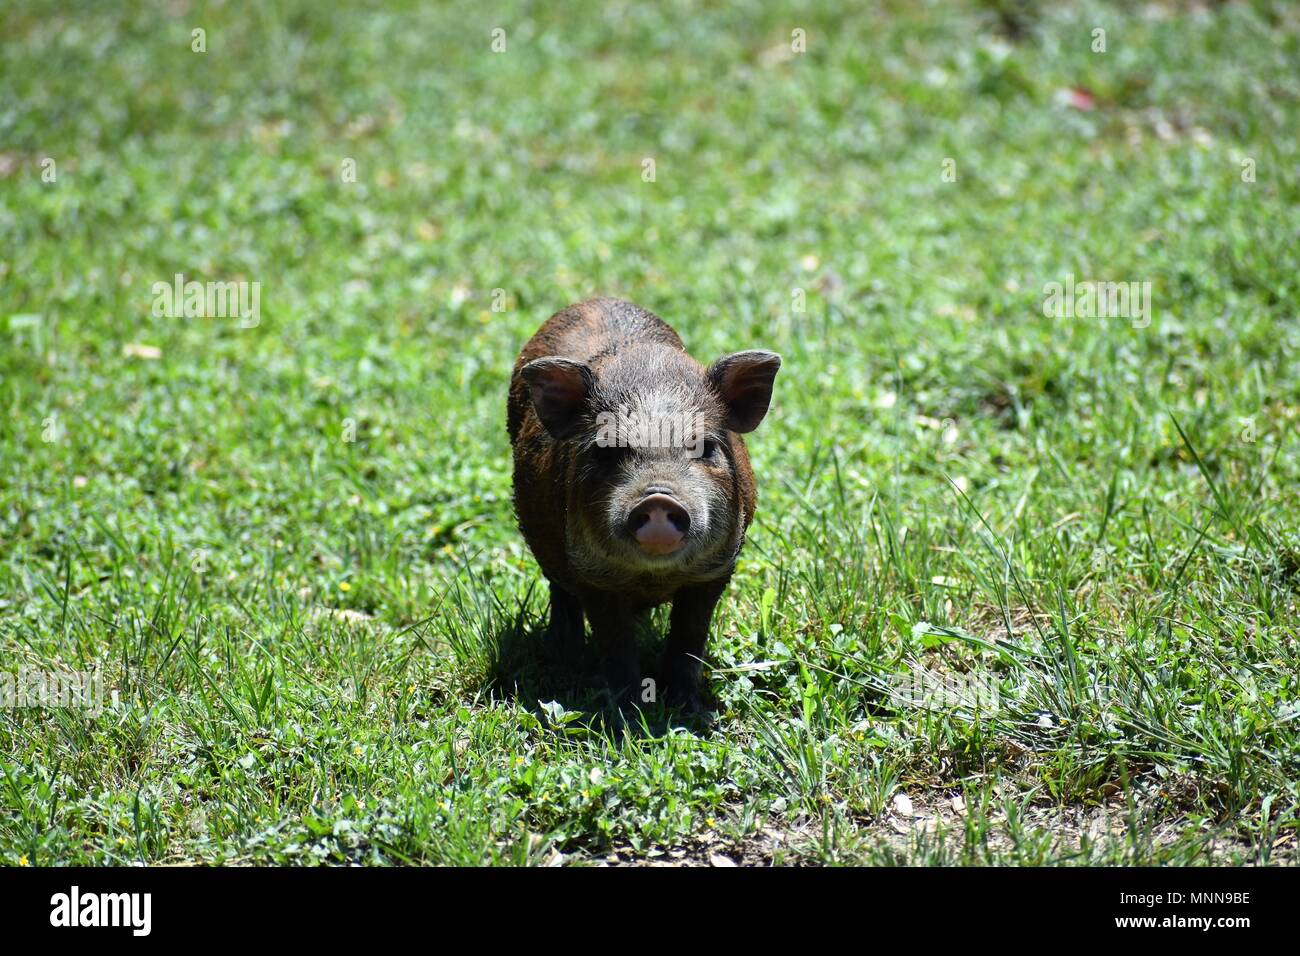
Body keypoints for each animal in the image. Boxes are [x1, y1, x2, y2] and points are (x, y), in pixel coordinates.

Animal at [507, 298, 781, 712]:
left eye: (705, 446)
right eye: (607, 450)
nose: (658, 498)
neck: (653, 579)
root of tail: (596, 299)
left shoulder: (716, 570)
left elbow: (689, 638)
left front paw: (685, 707)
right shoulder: (594, 576)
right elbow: (616, 646)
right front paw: (628, 713)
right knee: (559, 591)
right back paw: (563, 650)